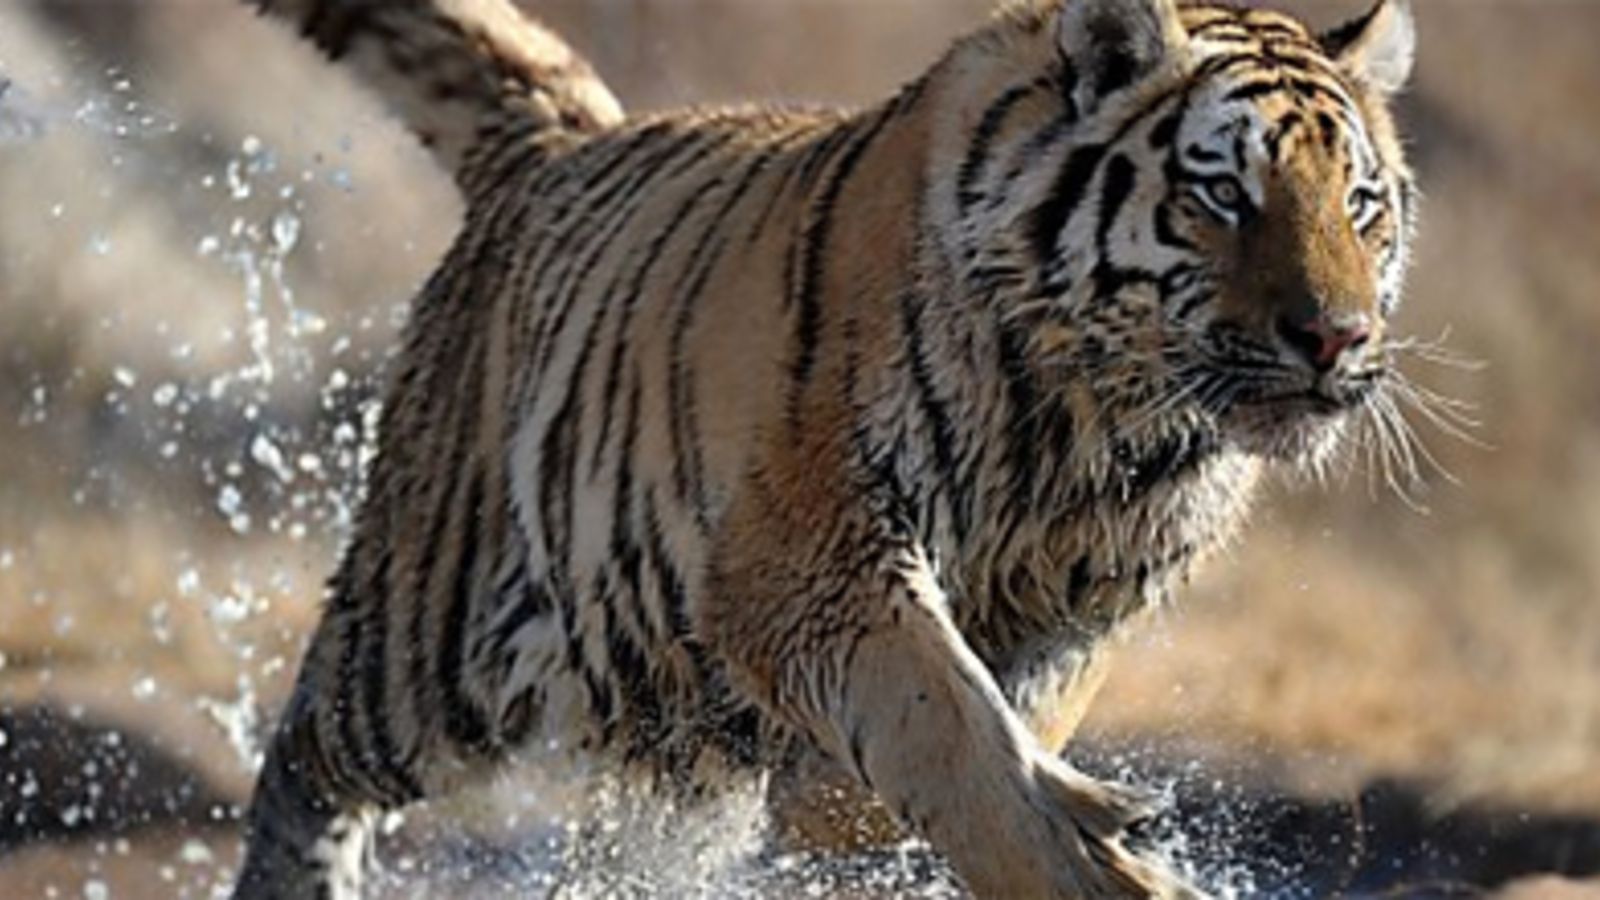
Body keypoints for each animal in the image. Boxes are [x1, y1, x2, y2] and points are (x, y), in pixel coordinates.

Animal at [231, 0, 1418, 896]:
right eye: (1224, 191)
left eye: (1361, 205)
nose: (1337, 337)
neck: (1101, 418)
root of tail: (559, 145)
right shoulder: (809, 553)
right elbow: (946, 719)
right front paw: (1093, 866)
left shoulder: (1087, 600)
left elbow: (982, 725)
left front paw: (843, 815)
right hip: (435, 641)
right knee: (305, 761)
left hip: (658, 721)